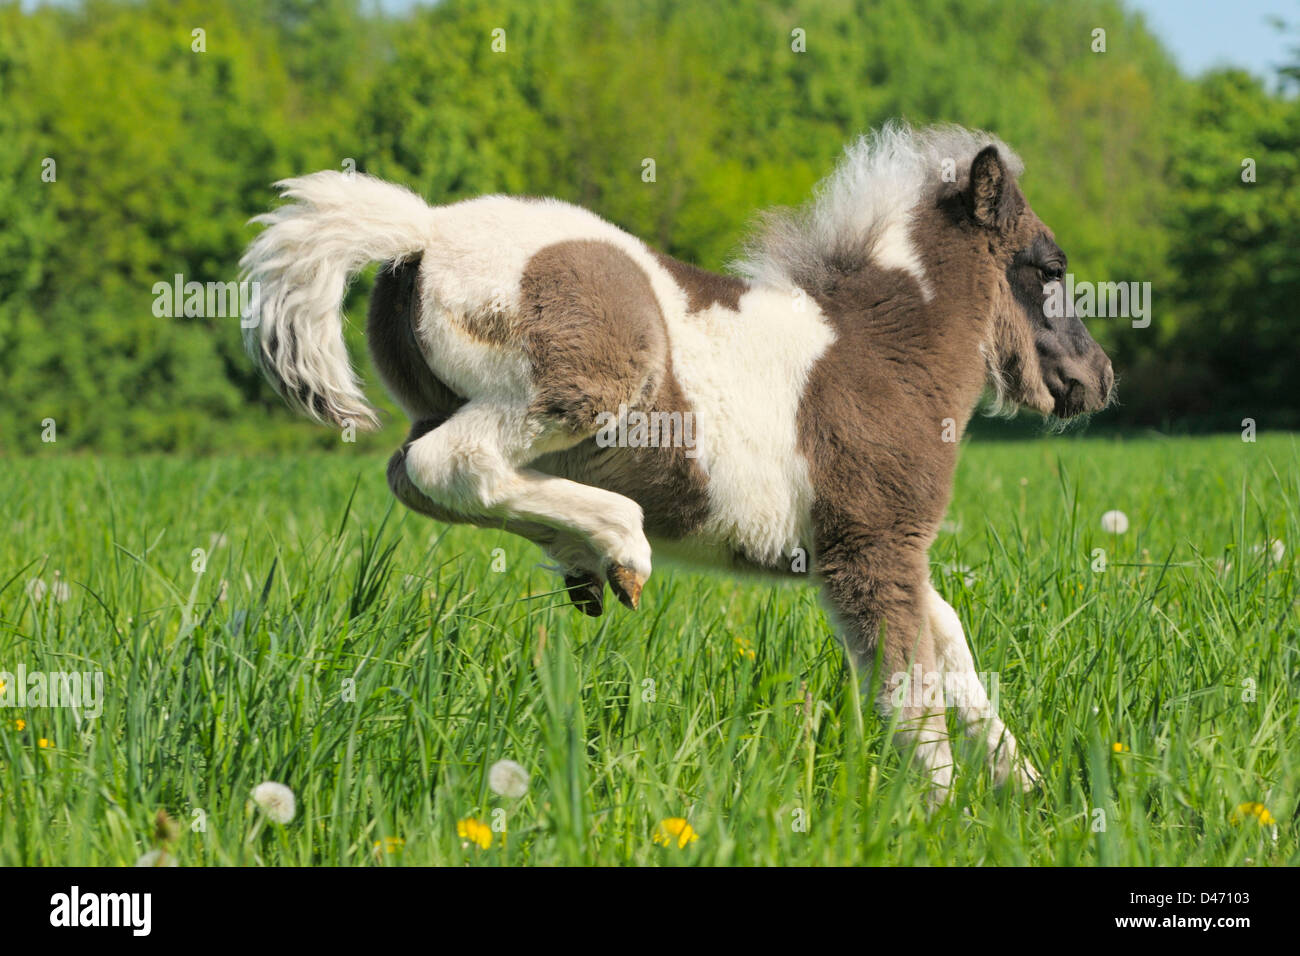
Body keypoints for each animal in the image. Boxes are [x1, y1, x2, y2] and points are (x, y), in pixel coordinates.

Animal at [240, 122, 1114, 801]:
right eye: (1047, 267)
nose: (1098, 379)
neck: (885, 353)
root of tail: (422, 230)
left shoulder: (879, 551)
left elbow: (951, 647)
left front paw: (1023, 786)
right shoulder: (871, 549)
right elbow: (910, 688)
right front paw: (934, 812)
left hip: (452, 402)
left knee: (418, 475)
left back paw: (586, 563)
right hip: (580, 388)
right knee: (445, 465)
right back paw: (619, 544)